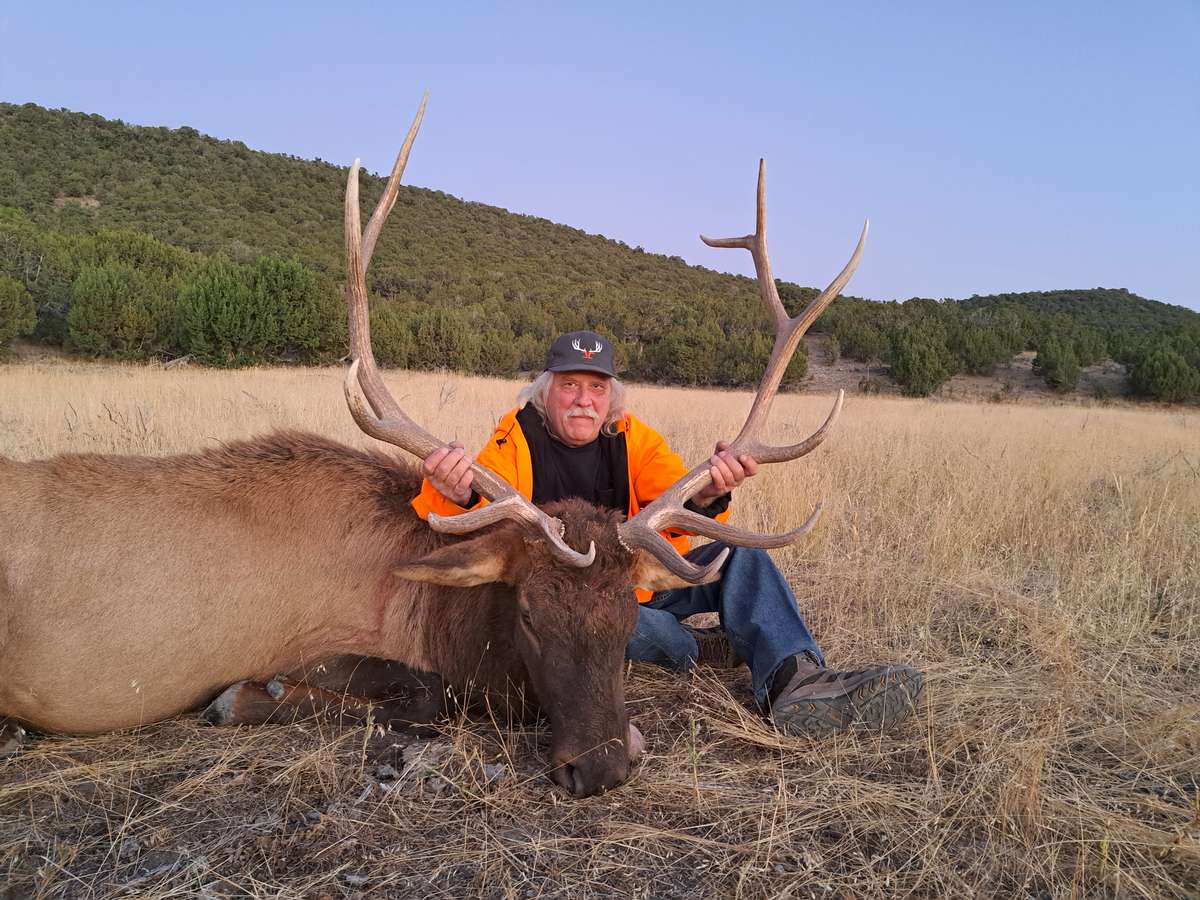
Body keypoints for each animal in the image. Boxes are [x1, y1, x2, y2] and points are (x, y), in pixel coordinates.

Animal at [0, 96, 865, 796]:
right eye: (527, 613)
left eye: (627, 620)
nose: (601, 767)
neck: (424, 600)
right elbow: (419, 690)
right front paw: (252, 696)